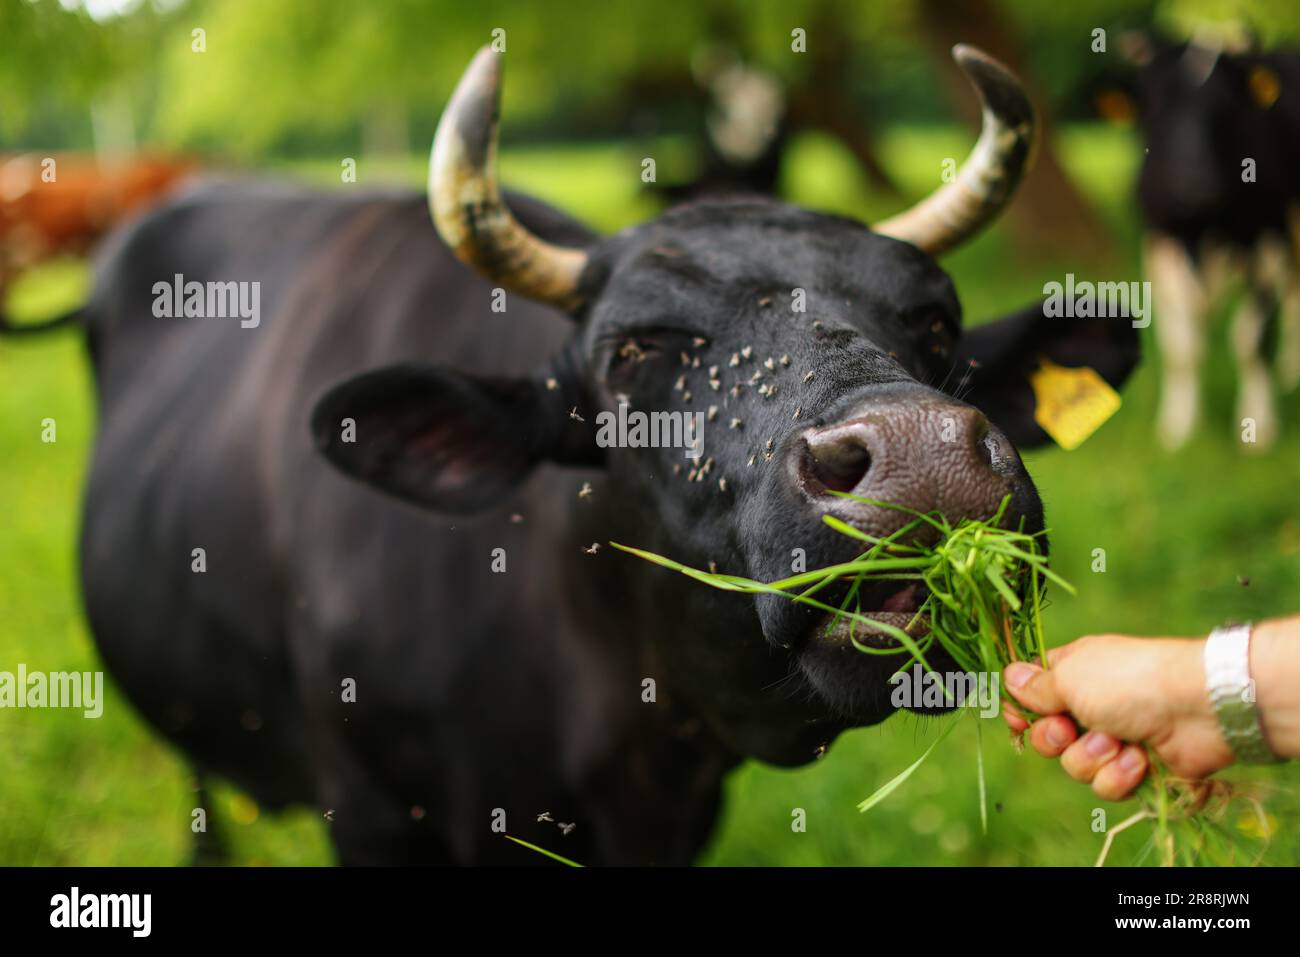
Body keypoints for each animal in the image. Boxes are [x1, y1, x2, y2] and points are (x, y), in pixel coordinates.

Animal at [1122, 31, 1300, 449]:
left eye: (1228, 108)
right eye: (1157, 105)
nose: (1194, 186)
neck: (1203, 229)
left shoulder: (1267, 245)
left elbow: (1252, 340)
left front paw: (1258, 425)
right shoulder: (1160, 248)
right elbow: (1183, 346)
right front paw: (1179, 428)